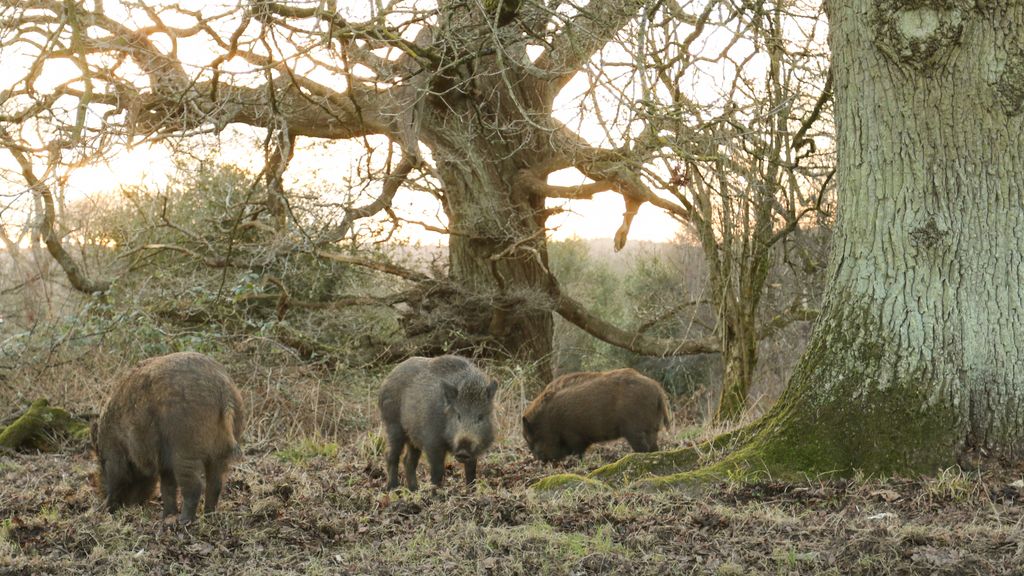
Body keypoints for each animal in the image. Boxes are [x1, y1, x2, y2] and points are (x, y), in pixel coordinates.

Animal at [92, 352, 246, 524]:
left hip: (185, 445)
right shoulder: (164, 464)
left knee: (195, 486)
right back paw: (208, 516)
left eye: (102, 462)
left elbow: (118, 479)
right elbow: (167, 487)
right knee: (216, 483)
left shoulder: (115, 457)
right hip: (222, 449)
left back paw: (183, 521)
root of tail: (223, 390)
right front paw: (165, 516)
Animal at [378, 355, 497, 490]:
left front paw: (471, 490)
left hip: (413, 437)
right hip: (392, 424)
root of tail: (387, 378)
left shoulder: (473, 450)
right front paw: (435, 492)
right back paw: (393, 487)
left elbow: (471, 471)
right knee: (391, 455)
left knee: (408, 460)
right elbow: (438, 470)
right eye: (458, 415)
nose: (463, 450)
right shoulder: (432, 441)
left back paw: (414, 489)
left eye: (480, 417)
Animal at [522, 368, 670, 463]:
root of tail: (658, 390)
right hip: (652, 429)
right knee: (654, 448)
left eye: (531, 439)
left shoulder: (574, 436)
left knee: (644, 449)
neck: (549, 422)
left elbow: (579, 452)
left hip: (635, 430)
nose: (538, 460)